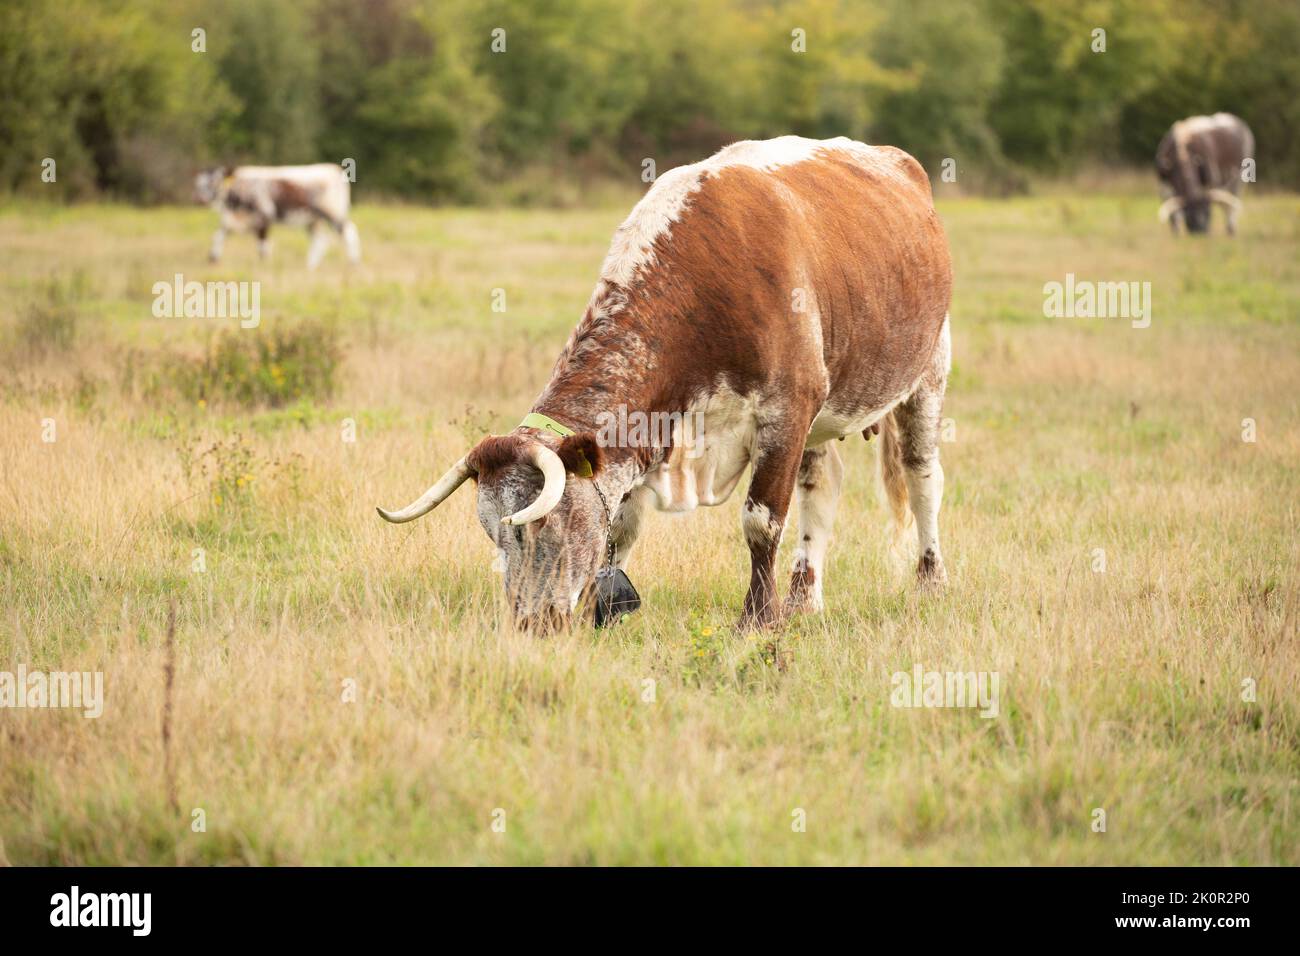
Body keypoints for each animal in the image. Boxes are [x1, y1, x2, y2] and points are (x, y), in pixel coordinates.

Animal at [194, 163, 361, 268]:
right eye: (199, 184)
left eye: (215, 181)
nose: (200, 199)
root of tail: (335, 169)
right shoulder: (235, 220)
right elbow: (218, 236)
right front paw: (213, 259)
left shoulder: (264, 216)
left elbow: (262, 246)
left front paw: (264, 265)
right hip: (312, 219)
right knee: (320, 241)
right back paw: (310, 266)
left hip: (333, 213)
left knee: (349, 232)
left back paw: (353, 263)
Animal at [378, 136, 953, 631]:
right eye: (492, 533)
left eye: (542, 526)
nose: (530, 623)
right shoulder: (652, 431)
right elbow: (620, 529)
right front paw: (599, 613)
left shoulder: (786, 411)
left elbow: (761, 521)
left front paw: (757, 619)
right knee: (821, 485)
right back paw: (802, 599)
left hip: (927, 376)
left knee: (923, 478)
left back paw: (930, 584)